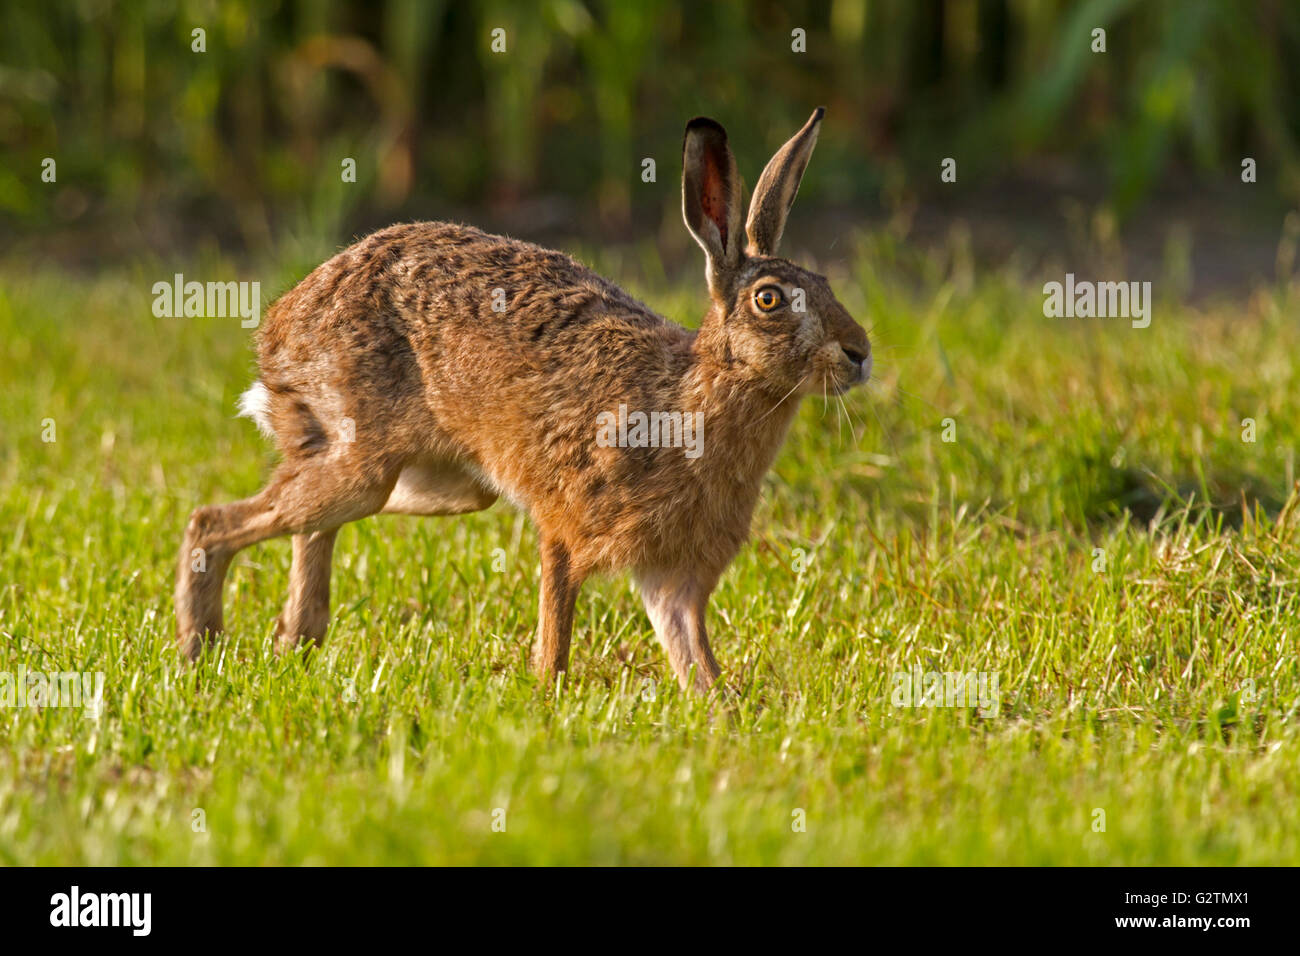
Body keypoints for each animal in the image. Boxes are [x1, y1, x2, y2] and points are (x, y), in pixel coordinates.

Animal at [175, 107, 871, 693]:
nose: (860, 351)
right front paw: (547, 694)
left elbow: (691, 652)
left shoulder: (674, 579)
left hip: (439, 485)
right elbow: (556, 628)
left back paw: (291, 640)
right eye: (770, 300)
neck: (695, 394)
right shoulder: (565, 527)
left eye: (826, 284)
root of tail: (284, 325)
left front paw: (719, 707)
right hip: (365, 465)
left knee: (309, 524)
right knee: (217, 521)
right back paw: (198, 647)